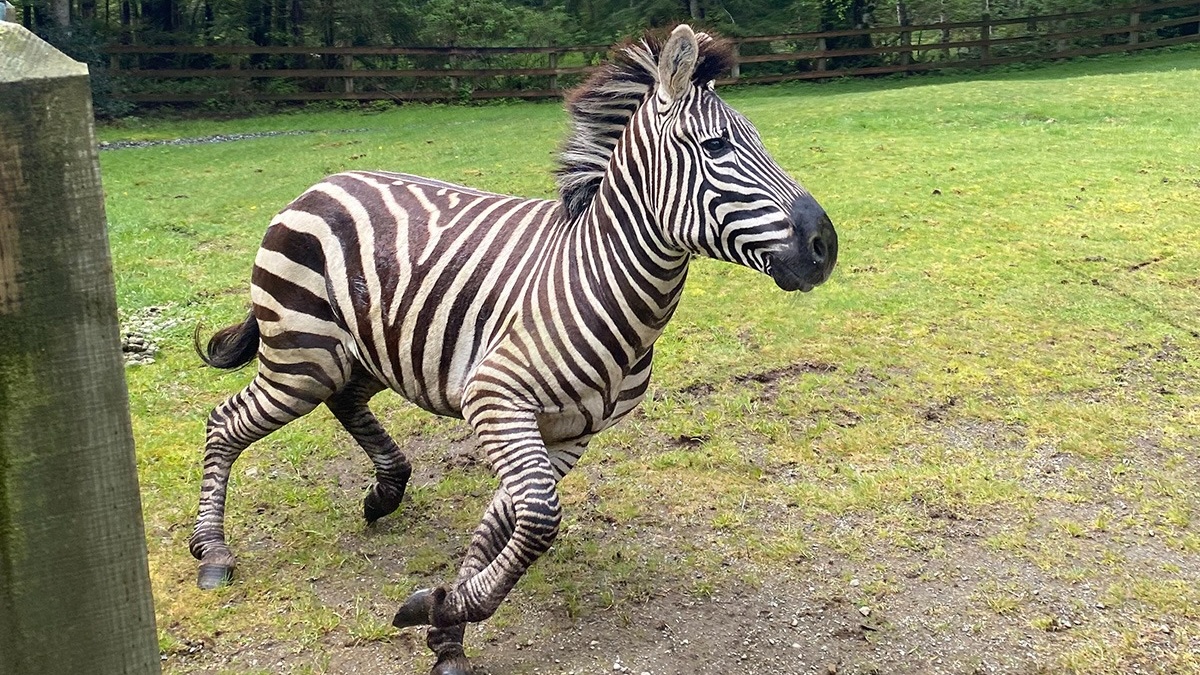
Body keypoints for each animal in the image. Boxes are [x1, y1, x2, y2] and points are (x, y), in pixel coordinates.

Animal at [191, 24, 837, 675]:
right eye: (716, 146)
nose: (824, 246)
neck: (601, 276)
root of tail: (319, 184)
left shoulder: (570, 431)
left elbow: (513, 516)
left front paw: (447, 621)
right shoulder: (495, 398)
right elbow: (540, 516)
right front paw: (443, 609)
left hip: (375, 351)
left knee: (344, 400)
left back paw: (384, 493)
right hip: (302, 355)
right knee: (225, 422)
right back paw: (214, 552)